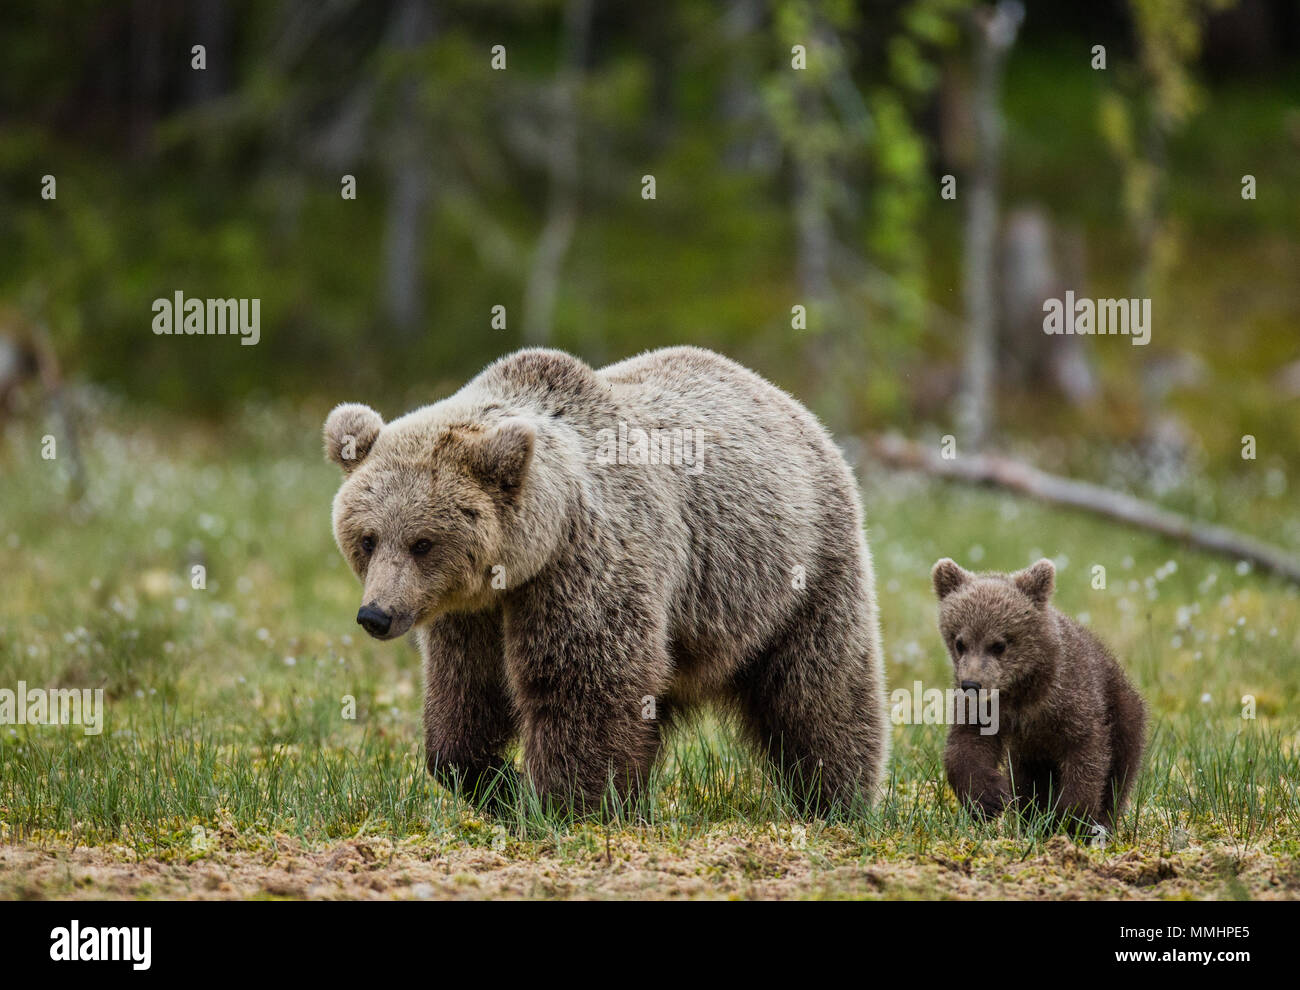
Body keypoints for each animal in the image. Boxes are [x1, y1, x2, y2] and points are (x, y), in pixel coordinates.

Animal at [324, 346, 889, 816]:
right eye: (368, 538)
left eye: (422, 542)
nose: (376, 615)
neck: (529, 557)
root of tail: (786, 401)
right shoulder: (473, 613)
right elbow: (467, 694)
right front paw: (495, 784)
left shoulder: (589, 563)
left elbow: (583, 683)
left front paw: (561, 805)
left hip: (797, 570)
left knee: (819, 689)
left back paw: (838, 799)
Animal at [931, 557, 1146, 836]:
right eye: (959, 642)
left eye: (999, 645)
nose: (970, 684)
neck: (1020, 691)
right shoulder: (988, 711)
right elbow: (966, 745)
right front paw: (990, 798)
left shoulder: (1072, 700)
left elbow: (1085, 755)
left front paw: (1070, 818)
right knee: (1029, 780)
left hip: (1122, 712)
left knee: (1118, 773)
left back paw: (1099, 823)